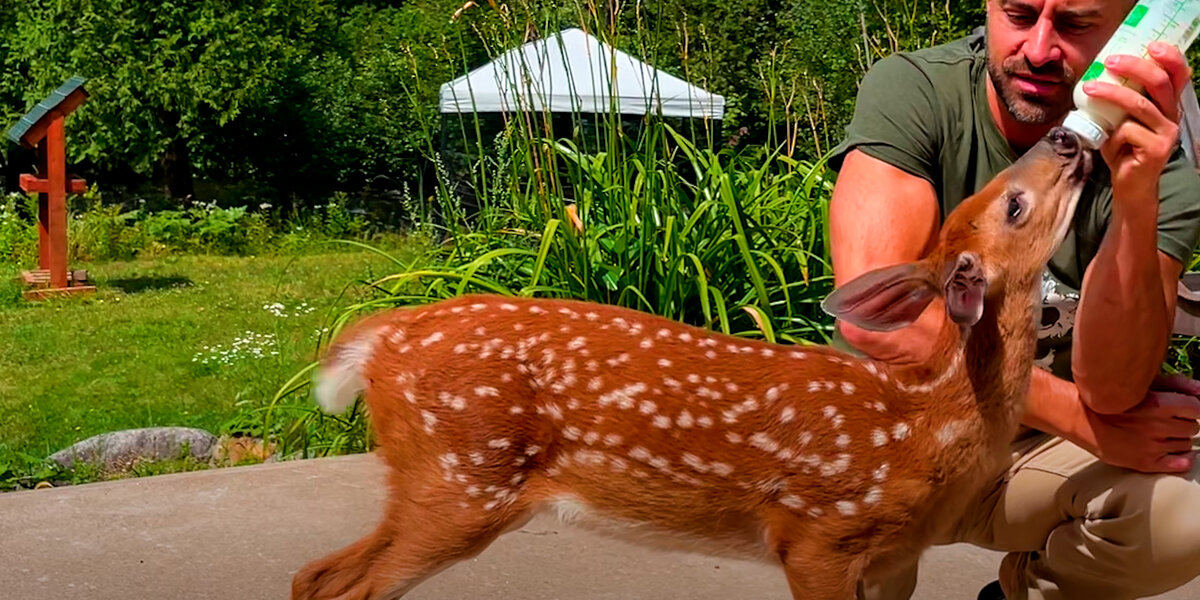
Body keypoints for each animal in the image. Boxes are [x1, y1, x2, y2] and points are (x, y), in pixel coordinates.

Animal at [292, 127, 1092, 600]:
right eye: (1012, 206)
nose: (1066, 137)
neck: (925, 426)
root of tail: (380, 337)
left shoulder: (896, 555)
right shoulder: (818, 534)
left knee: (315, 576)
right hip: (459, 476)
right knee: (337, 583)